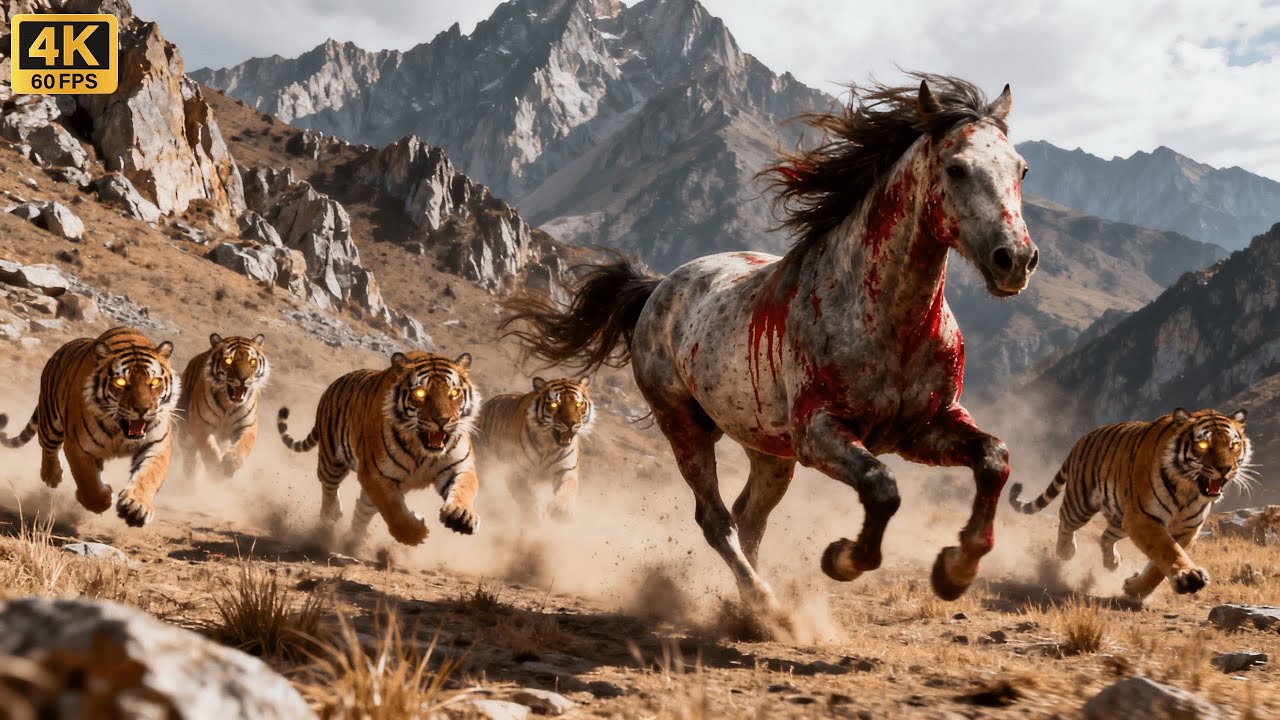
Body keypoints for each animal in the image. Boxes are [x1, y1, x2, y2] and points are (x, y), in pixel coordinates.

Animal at [503, 74, 1038, 621]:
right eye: (956, 168)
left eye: (1020, 169)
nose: (1015, 260)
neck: (891, 323)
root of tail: (657, 287)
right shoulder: (820, 433)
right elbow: (882, 488)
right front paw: (842, 559)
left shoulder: (925, 428)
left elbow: (994, 458)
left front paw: (956, 569)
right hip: (685, 428)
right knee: (716, 519)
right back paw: (766, 605)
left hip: (769, 450)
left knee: (747, 518)